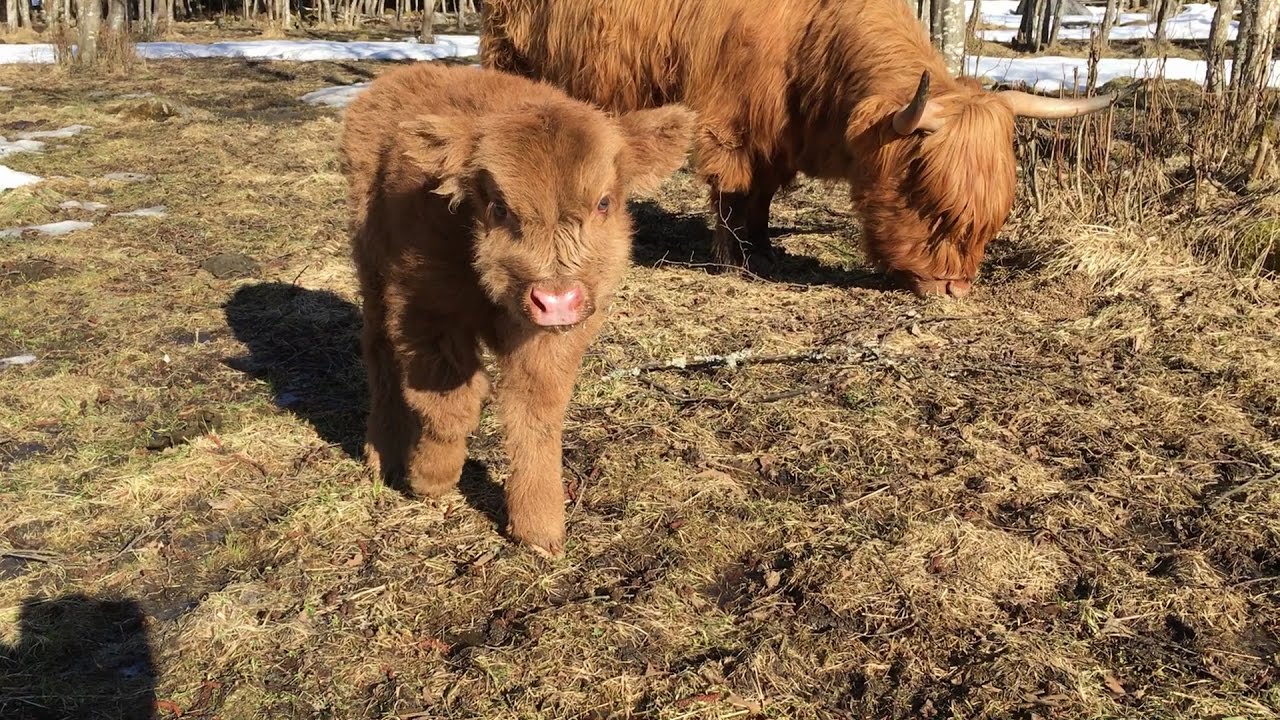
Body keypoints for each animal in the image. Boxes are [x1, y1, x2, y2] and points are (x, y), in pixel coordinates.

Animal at [340, 62, 696, 555]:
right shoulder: (424, 311)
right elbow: (449, 402)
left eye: (604, 202)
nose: (557, 300)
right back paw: (384, 454)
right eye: (499, 207)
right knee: (379, 354)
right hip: (372, 270)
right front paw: (433, 478)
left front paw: (539, 527)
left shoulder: (551, 341)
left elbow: (535, 414)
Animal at [480, 0, 1116, 297]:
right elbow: (734, 192)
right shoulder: (732, 123)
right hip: (511, 53)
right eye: (933, 206)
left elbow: (761, 197)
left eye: (990, 222)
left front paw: (763, 249)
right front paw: (738, 259)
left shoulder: (778, 135)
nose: (954, 288)